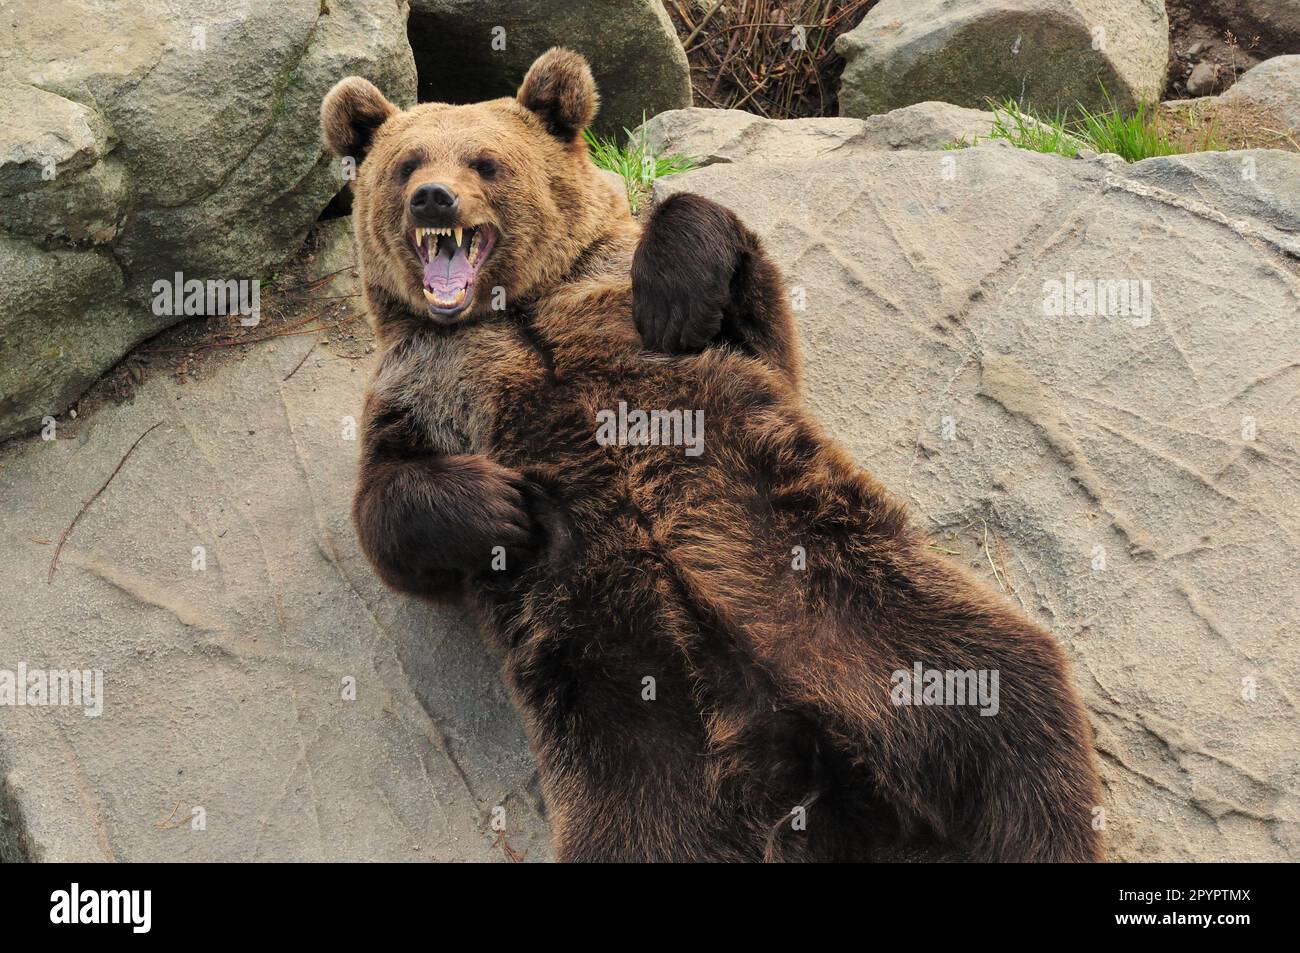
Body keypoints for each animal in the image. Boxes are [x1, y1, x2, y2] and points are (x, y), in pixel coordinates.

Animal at [321, 47, 1103, 862]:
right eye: (407, 163)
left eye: (485, 161)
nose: (433, 200)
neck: (519, 313)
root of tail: (820, 774)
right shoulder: (426, 387)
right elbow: (390, 512)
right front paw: (503, 506)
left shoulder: (648, 320)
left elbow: (734, 288)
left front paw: (672, 294)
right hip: (641, 746)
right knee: (646, 831)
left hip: (880, 622)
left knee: (1015, 721)